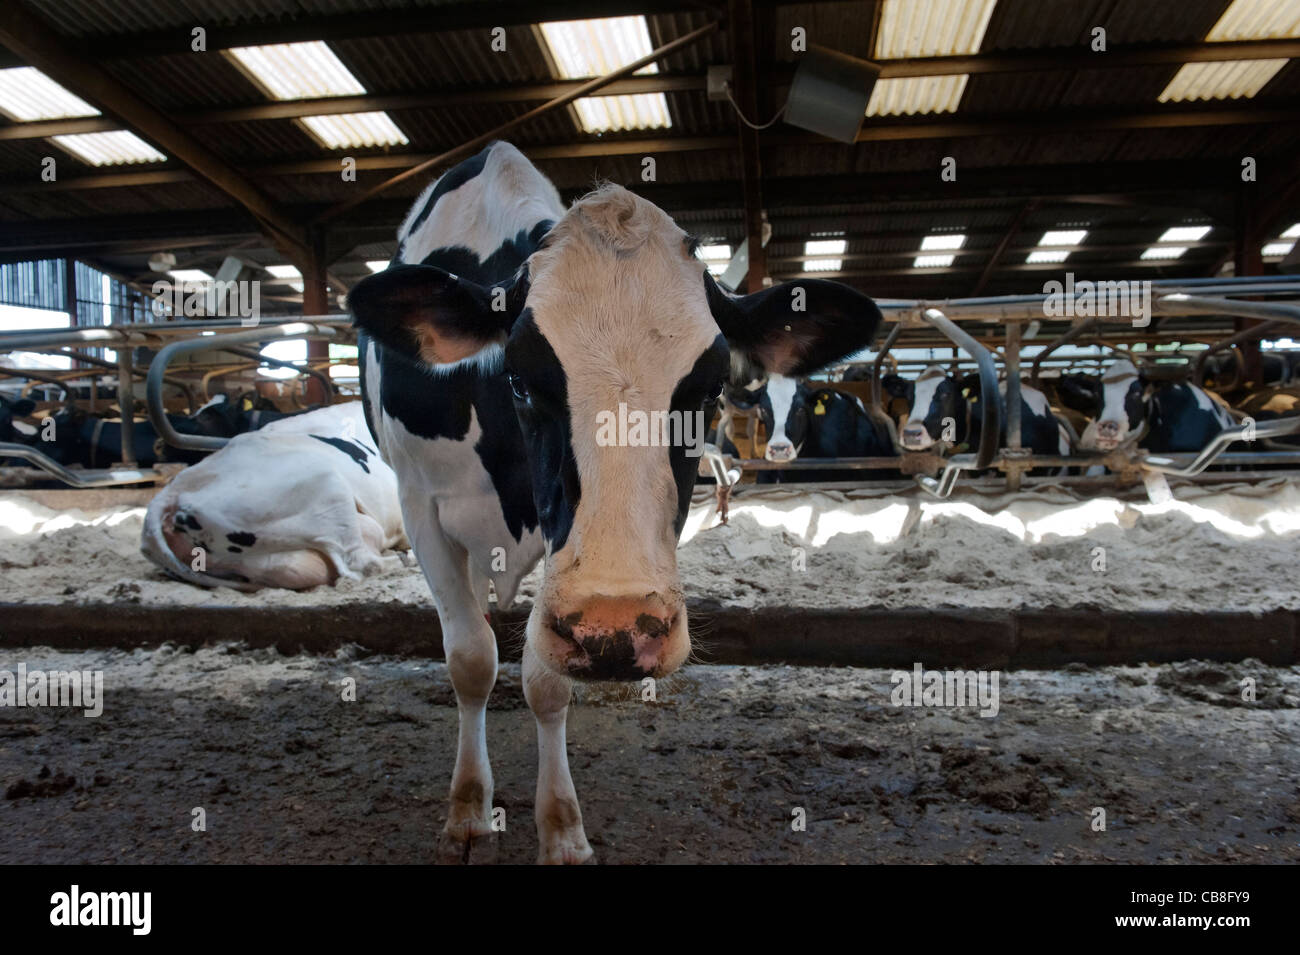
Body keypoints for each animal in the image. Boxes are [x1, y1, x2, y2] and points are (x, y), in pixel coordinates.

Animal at [347, 141, 881, 864]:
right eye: (518, 379)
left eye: (708, 391)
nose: (616, 628)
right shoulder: (420, 506)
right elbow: (471, 659)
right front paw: (468, 811)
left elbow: (546, 680)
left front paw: (561, 827)